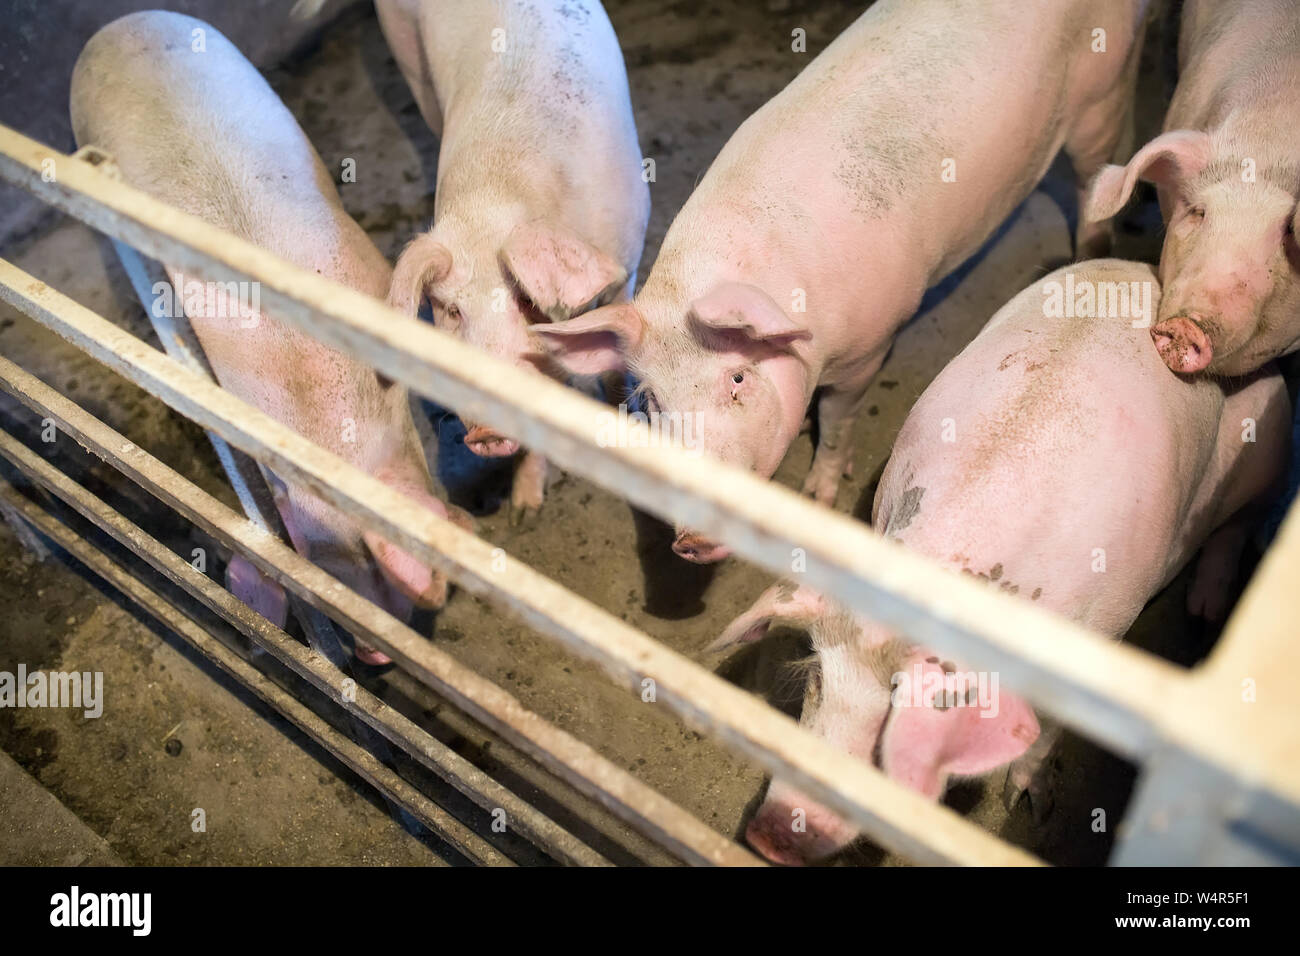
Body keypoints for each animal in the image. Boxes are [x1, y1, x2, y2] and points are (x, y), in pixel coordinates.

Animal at [372, 0, 650, 522]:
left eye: (526, 303)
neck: (495, 199)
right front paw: (524, 511)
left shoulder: (627, 257)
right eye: (452, 311)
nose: (486, 428)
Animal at [537, 0, 1151, 562]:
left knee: (1096, 175)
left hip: (1105, 88)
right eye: (651, 400)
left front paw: (819, 495)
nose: (689, 540)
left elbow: (836, 418)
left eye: (738, 378)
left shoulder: (869, 347)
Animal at [713, 260, 1290, 865]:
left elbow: (1051, 729)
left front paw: (1028, 805)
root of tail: (1143, 267)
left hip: (1270, 446)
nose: (770, 835)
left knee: (1241, 523)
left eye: (895, 722)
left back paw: (1204, 613)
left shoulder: (1108, 625)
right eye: (819, 678)